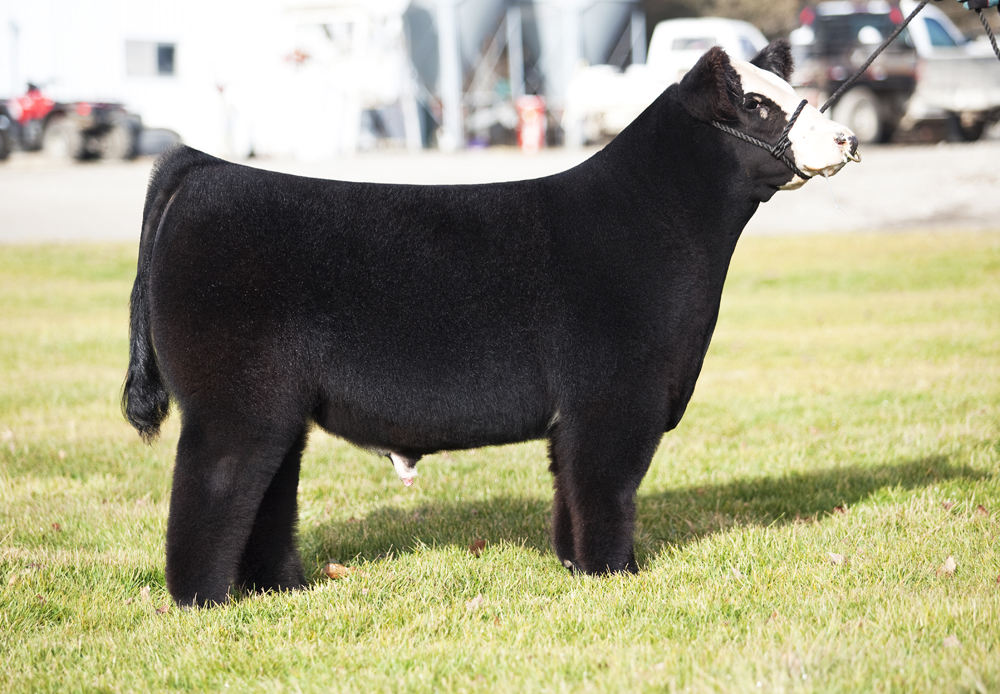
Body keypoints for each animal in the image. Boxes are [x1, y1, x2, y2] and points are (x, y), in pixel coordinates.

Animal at [123, 41, 859, 607]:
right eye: (757, 105)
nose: (847, 138)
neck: (655, 222)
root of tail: (206, 170)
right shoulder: (616, 397)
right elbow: (607, 484)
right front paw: (613, 573)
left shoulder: (582, 411)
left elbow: (569, 486)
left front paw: (573, 566)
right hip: (232, 403)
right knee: (213, 485)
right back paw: (202, 601)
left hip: (275, 407)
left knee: (268, 488)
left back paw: (282, 589)